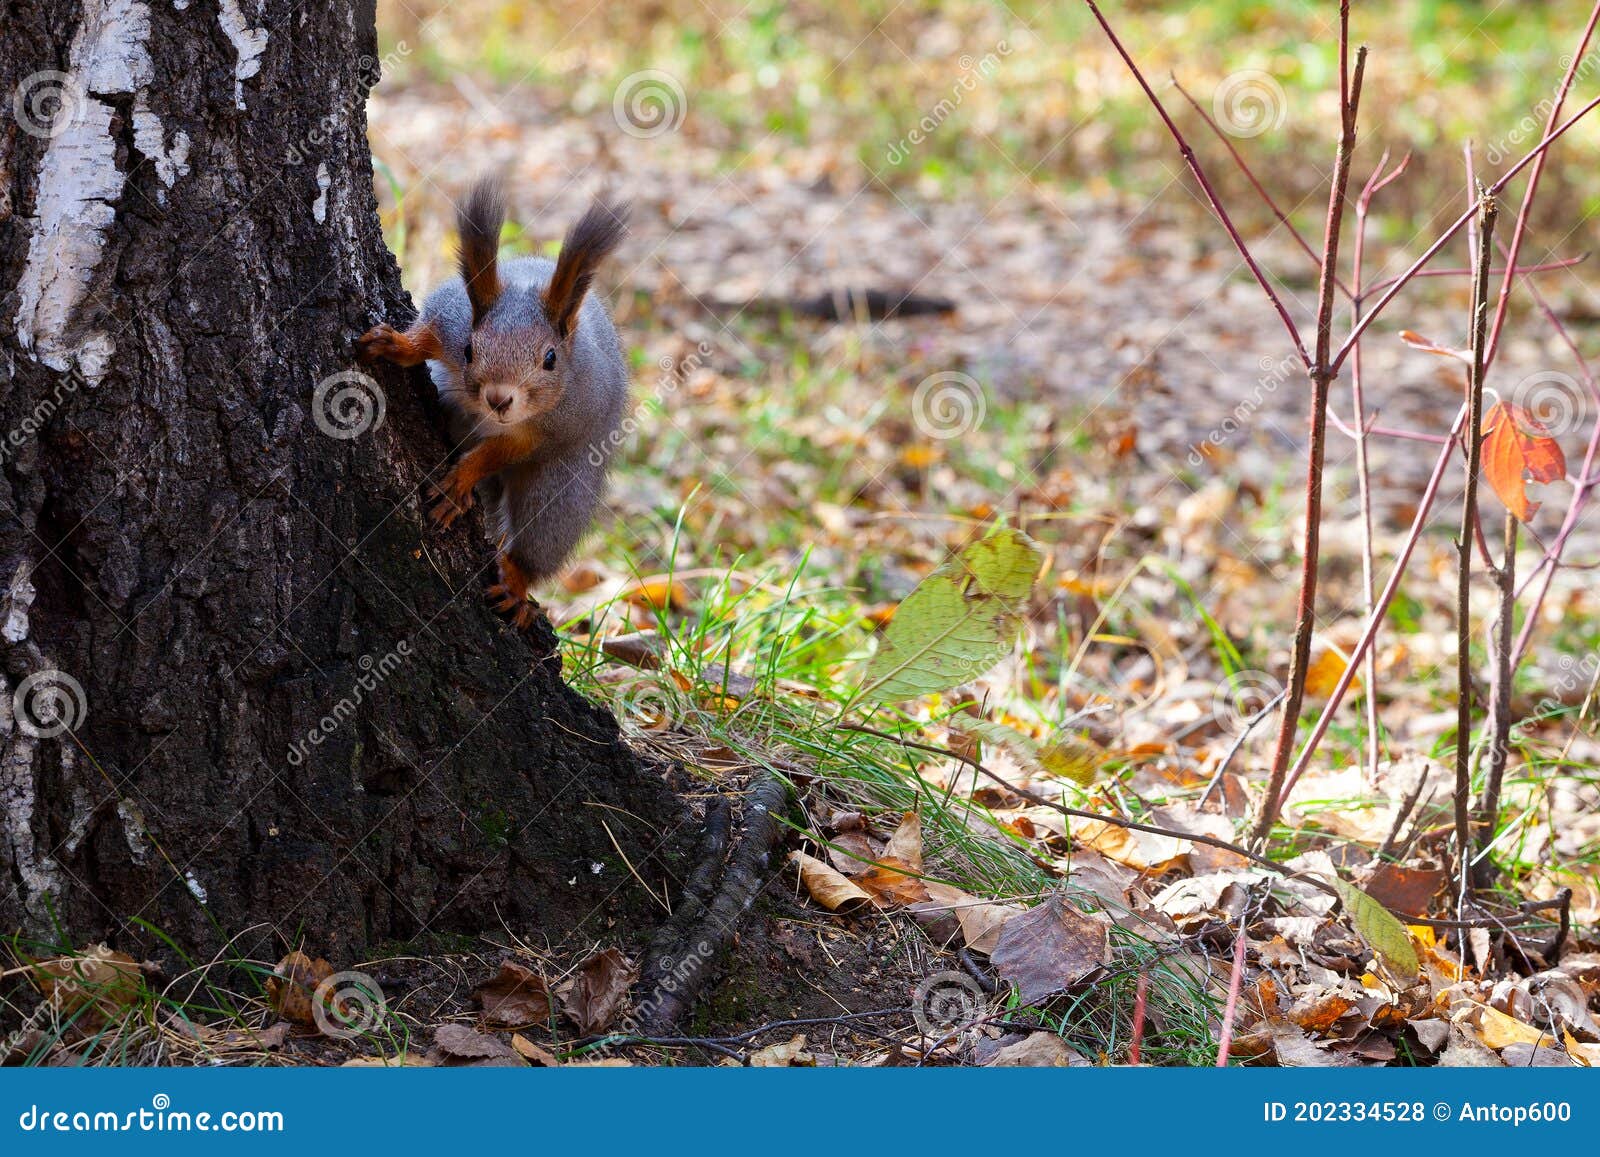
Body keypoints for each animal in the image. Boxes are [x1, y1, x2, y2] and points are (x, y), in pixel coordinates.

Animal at [359, 179, 631, 631]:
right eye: (470, 350)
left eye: (550, 358)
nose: (499, 398)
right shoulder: (452, 318)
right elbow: (429, 334)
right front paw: (398, 345)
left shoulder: (553, 425)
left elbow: (505, 449)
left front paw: (461, 480)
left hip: (562, 488)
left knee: (543, 533)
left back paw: (516, 582)